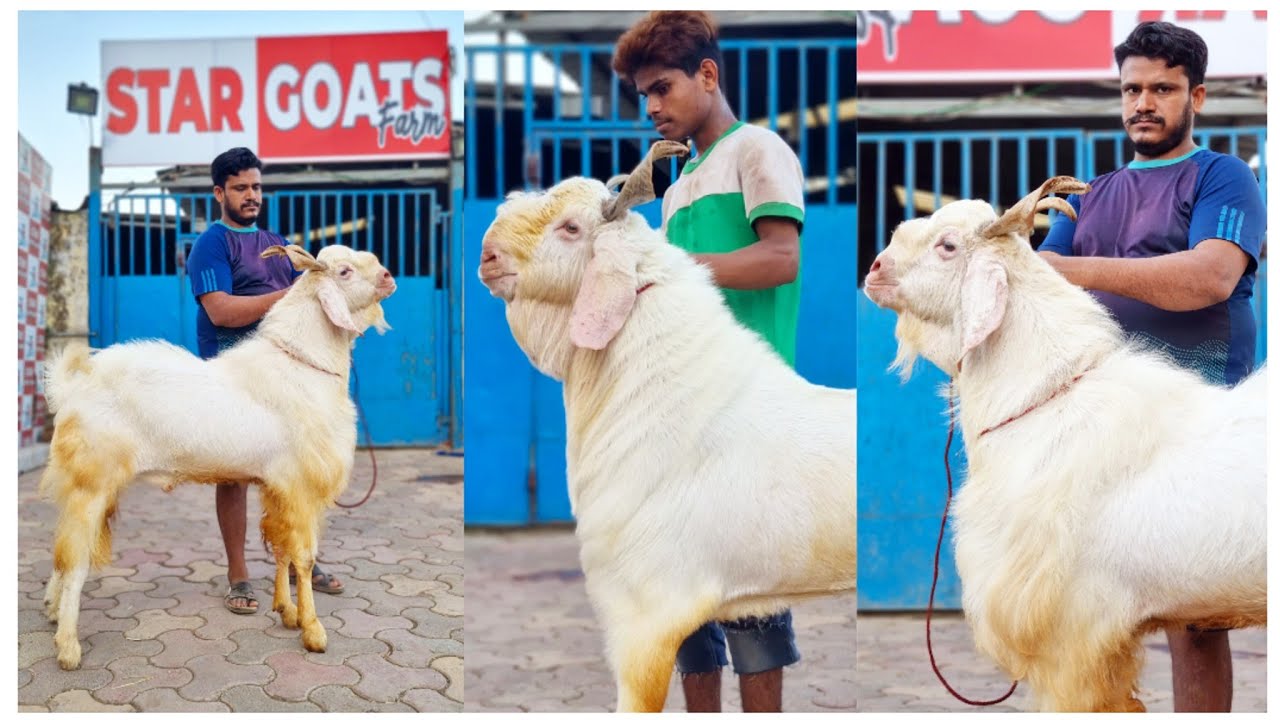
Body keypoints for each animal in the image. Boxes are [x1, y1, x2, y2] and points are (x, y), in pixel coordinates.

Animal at [39, 243, 395, 670]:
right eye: (344, 271)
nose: (388, 277)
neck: (303, 366)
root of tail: (70, 390)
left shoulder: (277, 486)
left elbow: (282, 551)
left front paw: (286, 612)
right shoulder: (300, 485)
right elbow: (304, 558)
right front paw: (313, 631)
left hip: (86, 485)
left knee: (61, 551)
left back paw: (52, 610)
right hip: (92, 482)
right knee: (75, 560)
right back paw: (68, 647)